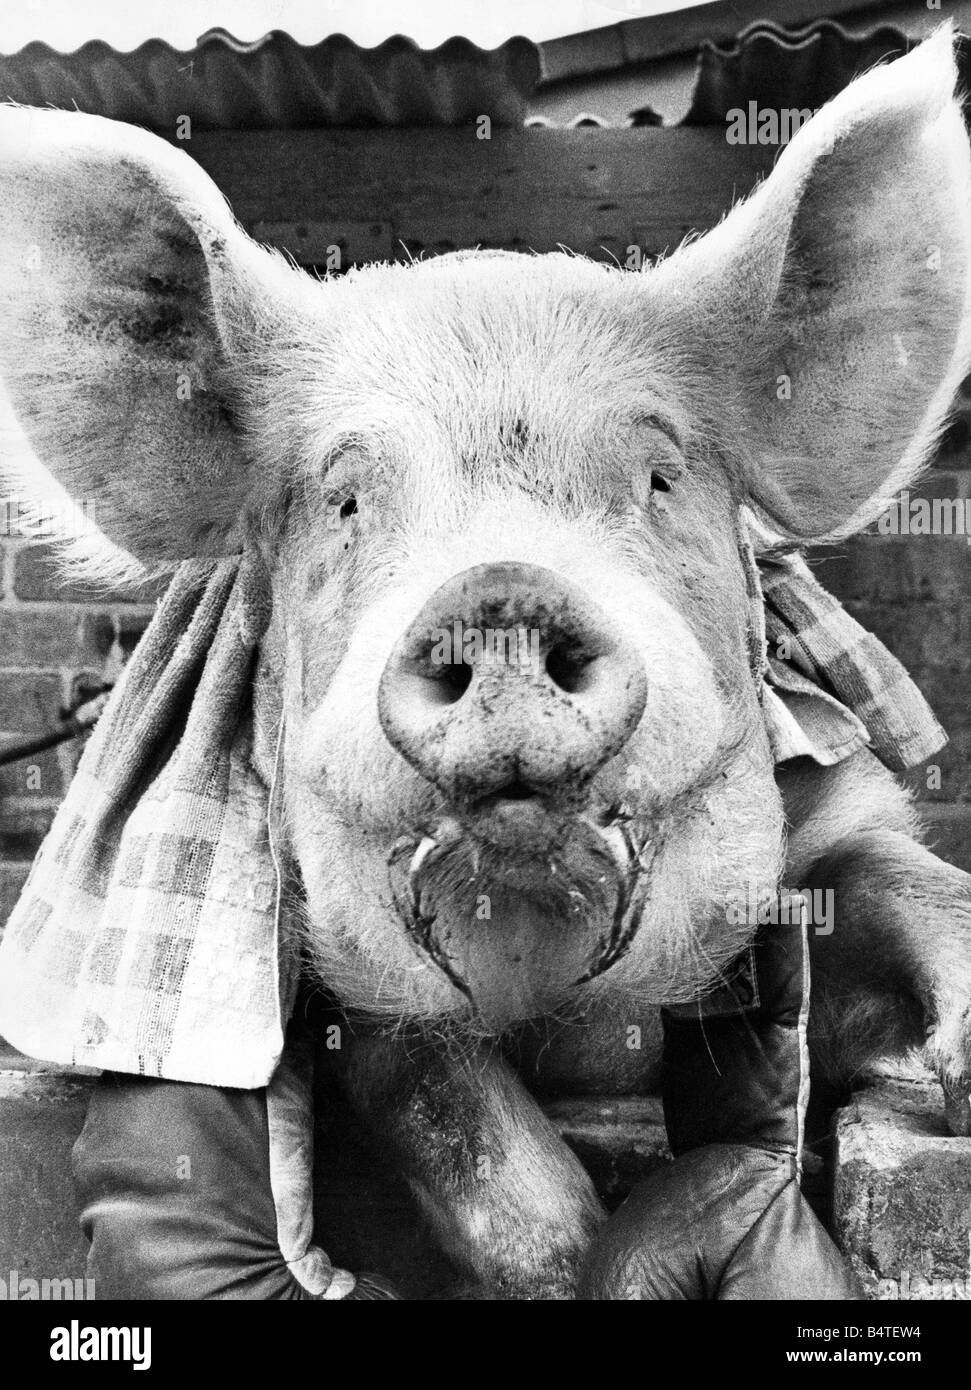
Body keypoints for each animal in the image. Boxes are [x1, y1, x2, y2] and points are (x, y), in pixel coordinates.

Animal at [1, 29, 970, 1299]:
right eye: (344, 500)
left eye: (657, 476)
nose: (498, 593)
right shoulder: (339, 973)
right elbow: (461, 1122)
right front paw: (590, 1247)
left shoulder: (824, 819)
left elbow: (894, 879)